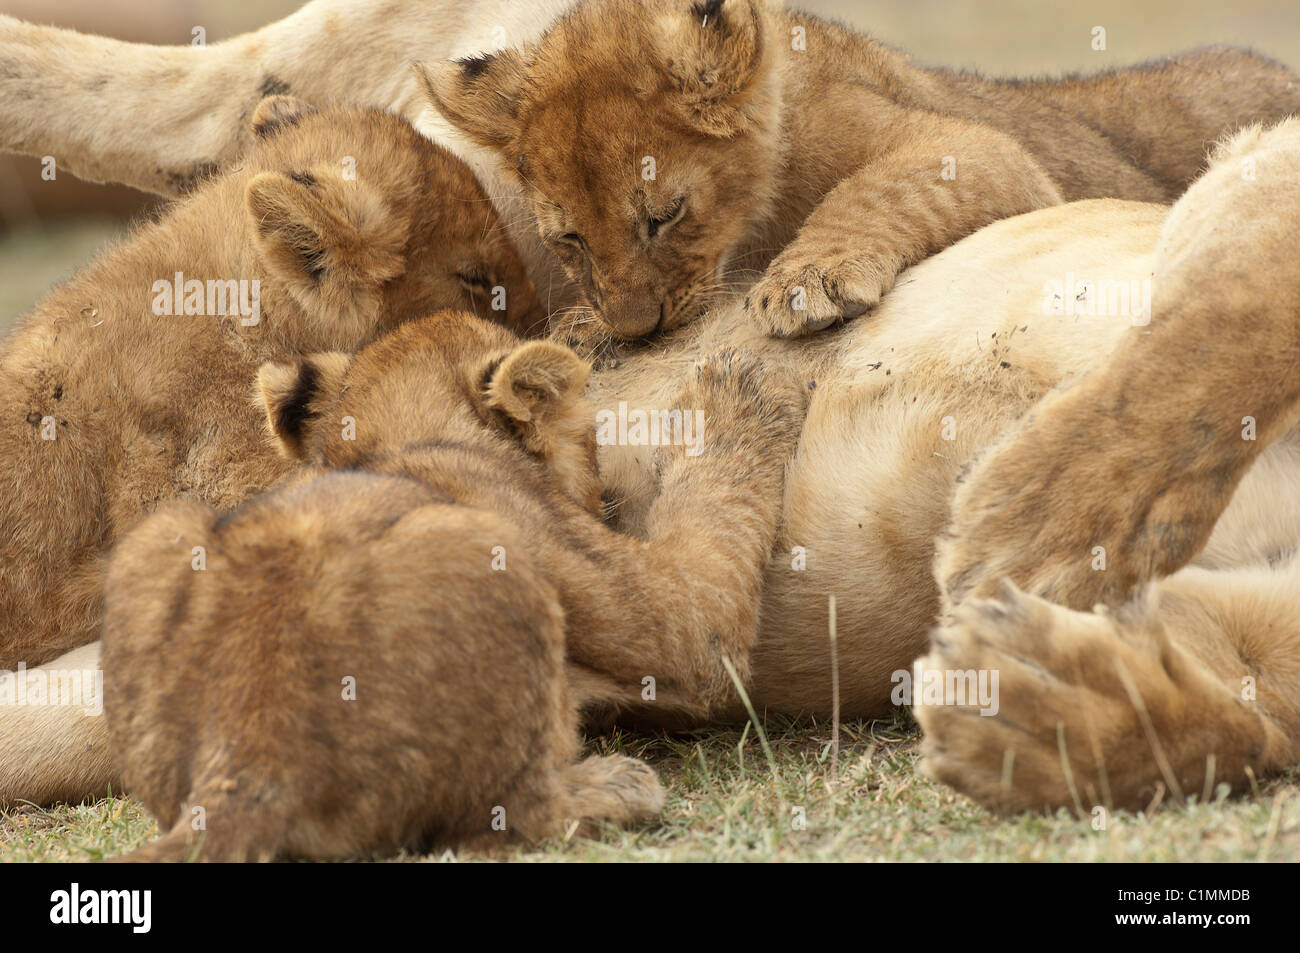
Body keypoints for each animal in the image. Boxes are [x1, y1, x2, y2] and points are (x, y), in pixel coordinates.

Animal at [104, 311, 803, 859]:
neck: (397, 437)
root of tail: (248, 750)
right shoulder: (677, 616)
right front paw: (739, 390)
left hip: (159, 534)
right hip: (492, 558)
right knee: (510, 814)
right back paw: (617, 786)